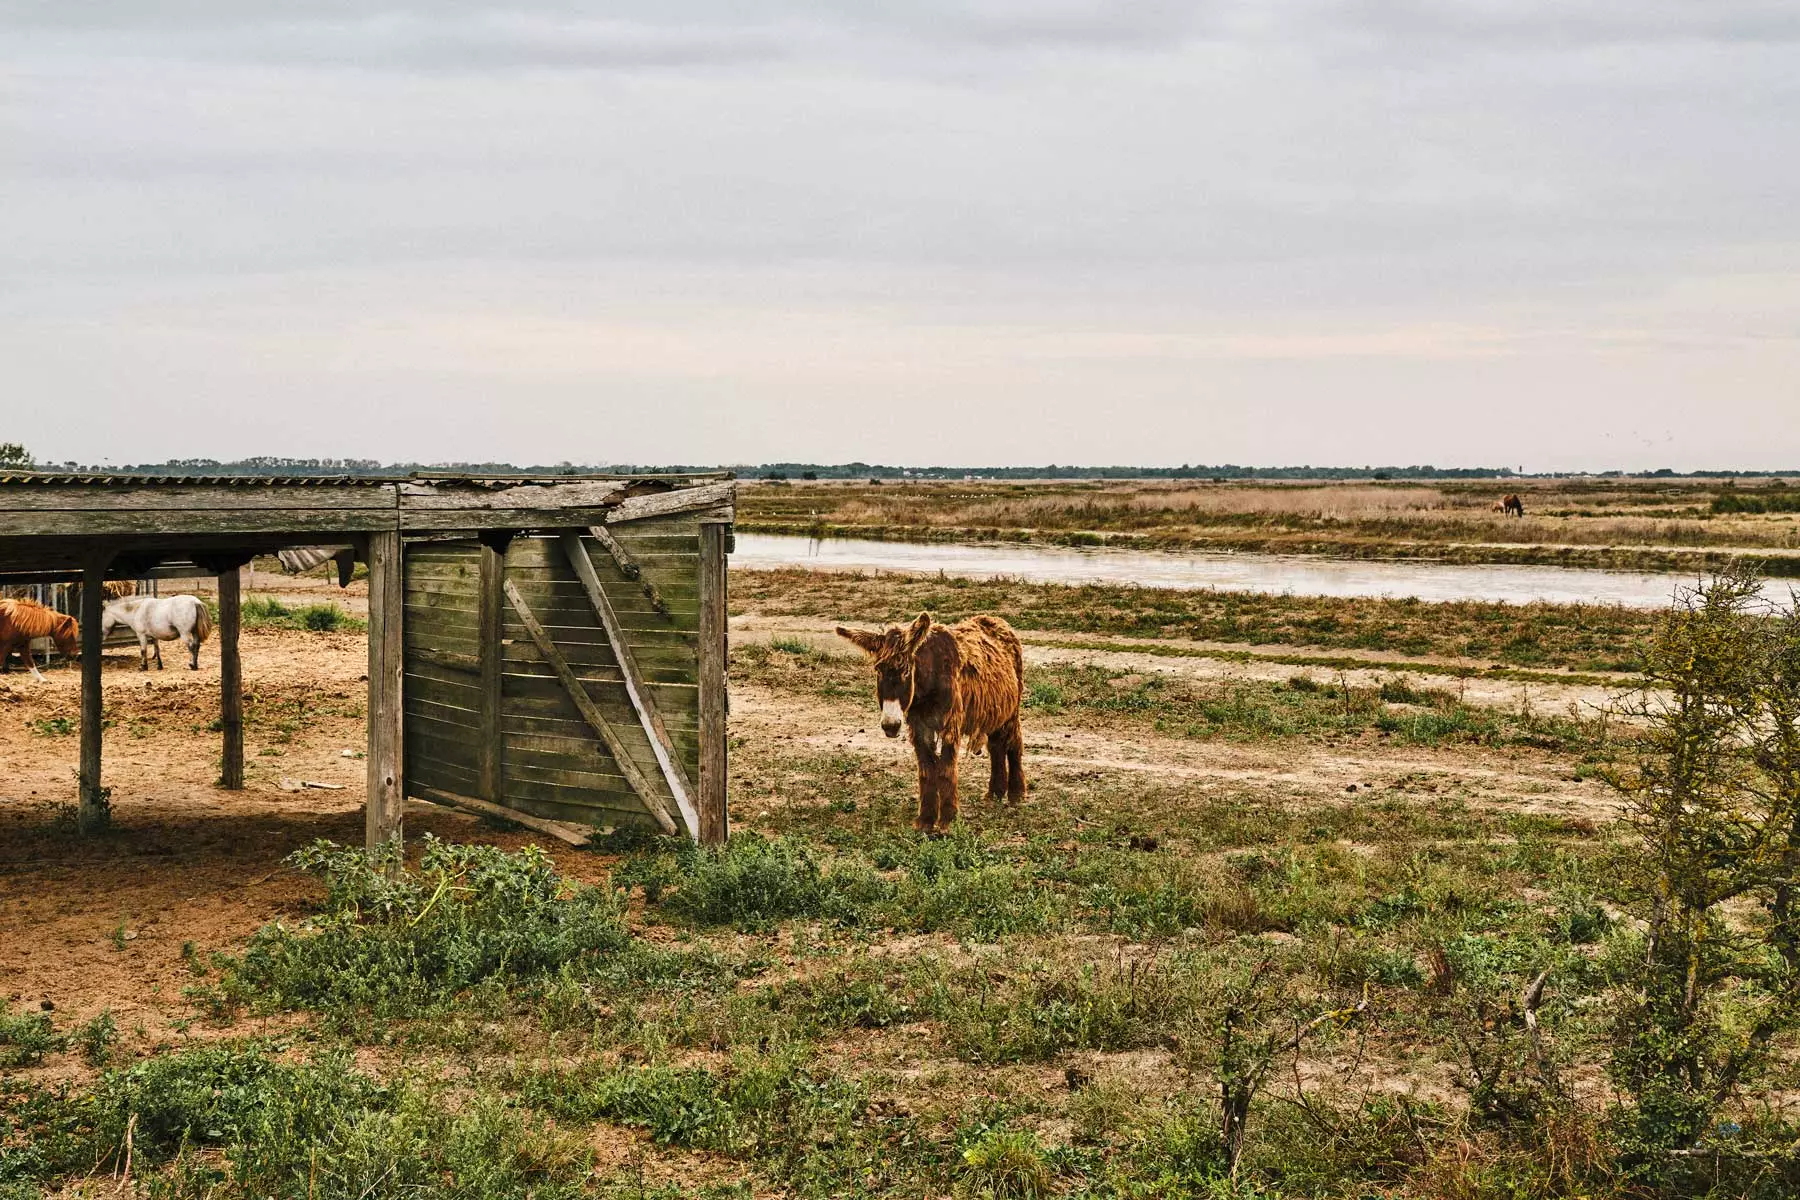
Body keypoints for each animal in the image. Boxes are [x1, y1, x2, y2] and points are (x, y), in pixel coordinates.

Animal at [831, 611, 1022, 834]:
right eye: (878, 670)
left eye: (905, 671)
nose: (890, 726)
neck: (929, 684)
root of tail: (995, 620)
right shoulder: (919, 727)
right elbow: (927, 770)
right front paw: (925, 820)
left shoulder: (950, 725)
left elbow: (946, 768)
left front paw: (948, 820)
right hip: (994, 712)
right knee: (996, 746)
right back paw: (995, 793)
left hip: (1011, 710)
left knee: (1013, 743)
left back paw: (1016, 794)